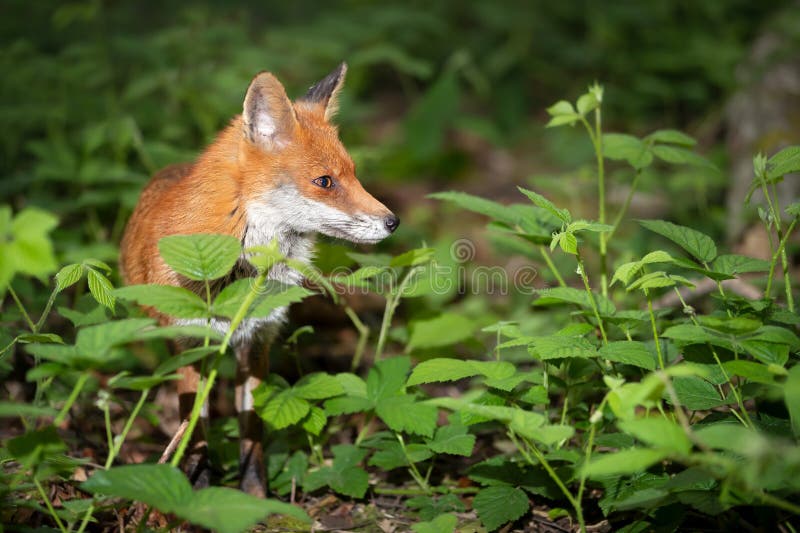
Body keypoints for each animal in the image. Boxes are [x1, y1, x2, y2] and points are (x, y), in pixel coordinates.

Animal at [119, 63, 399, 496]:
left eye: (354, 175)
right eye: (325, 181)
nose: (392, 222)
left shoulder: (256, 340)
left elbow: (252, 434)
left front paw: (257, 498)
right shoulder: (190, 342)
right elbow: (194, 435)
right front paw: (194, 493)